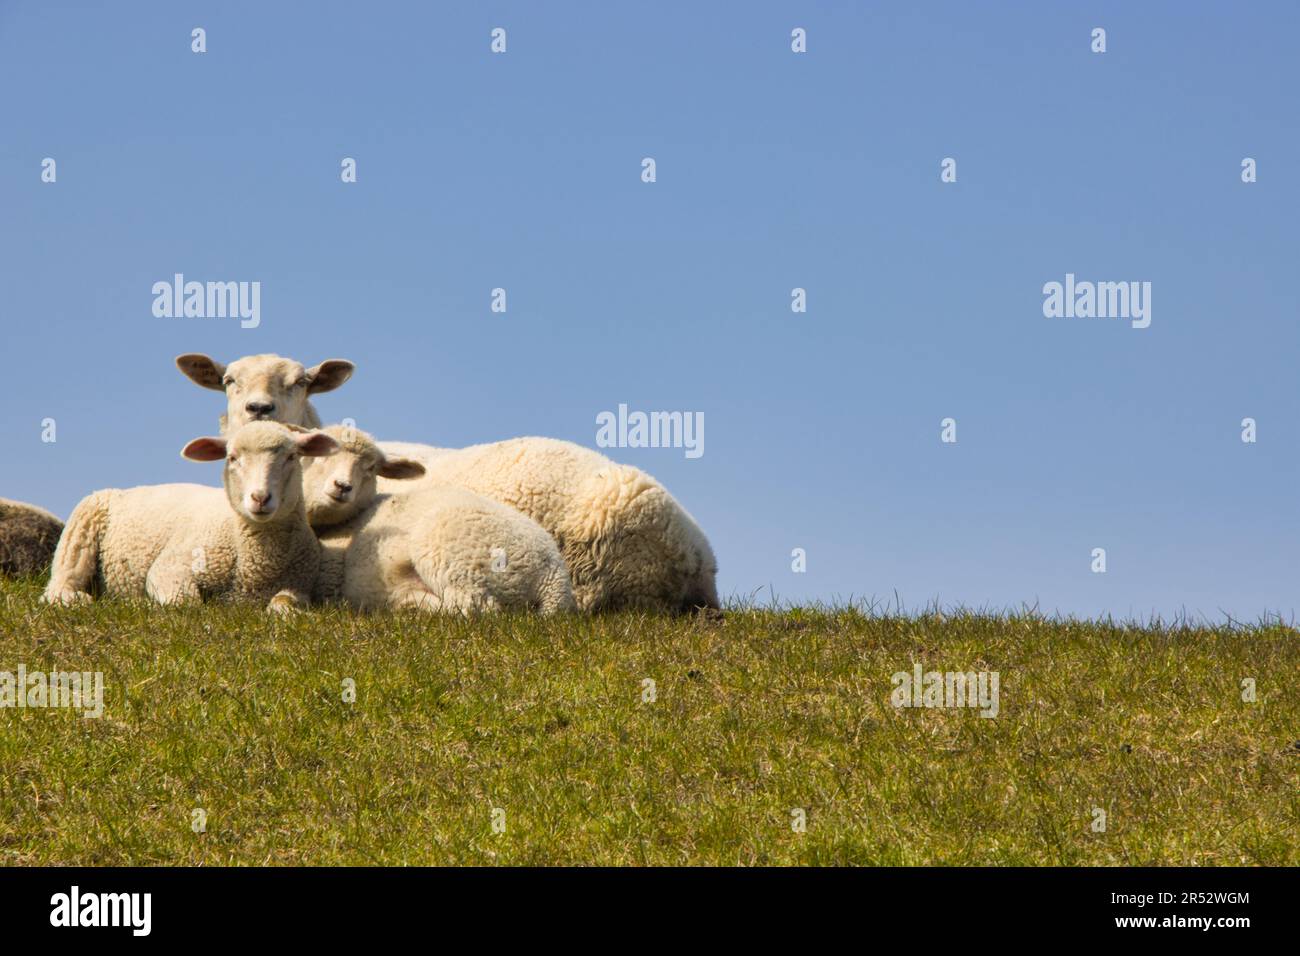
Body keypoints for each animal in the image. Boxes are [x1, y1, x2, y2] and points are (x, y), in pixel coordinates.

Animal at [43, 422, 339, 613]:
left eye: (291, 457)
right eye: (232, 458)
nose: (260, 498)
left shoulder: (299, 585)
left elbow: (284, 604)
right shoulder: (171, 567)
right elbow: (186, 603)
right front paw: (143, 603)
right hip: (81, 529)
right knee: (60, 582)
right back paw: (74, 598)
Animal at [302, 425, 576, 615]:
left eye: (370, 468)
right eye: (320, 456)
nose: (342, 486)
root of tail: (553, 579)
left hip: (451, 555)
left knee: (474, 607)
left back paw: (409, 605)